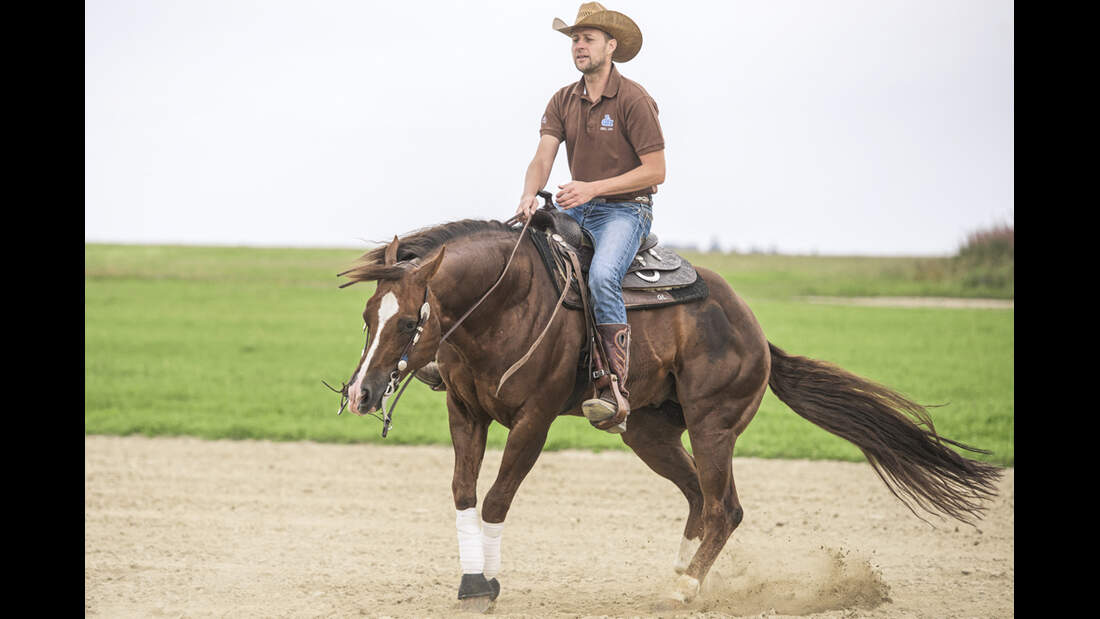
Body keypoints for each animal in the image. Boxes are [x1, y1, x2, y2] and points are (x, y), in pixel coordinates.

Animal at [333, 215, 1002, 609]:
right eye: (367, 315)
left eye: (409, 320)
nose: (361, 393)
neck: (510, 301)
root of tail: (757, 334)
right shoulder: (466, 413)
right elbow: (464, 493)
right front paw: (472, 580)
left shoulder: (534, 422)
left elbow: (496, 498)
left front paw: (487, 587)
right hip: (652, 434)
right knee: (699, 500)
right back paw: (675, 575)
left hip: (712, 429)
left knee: (725, 508)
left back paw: (683, 588)